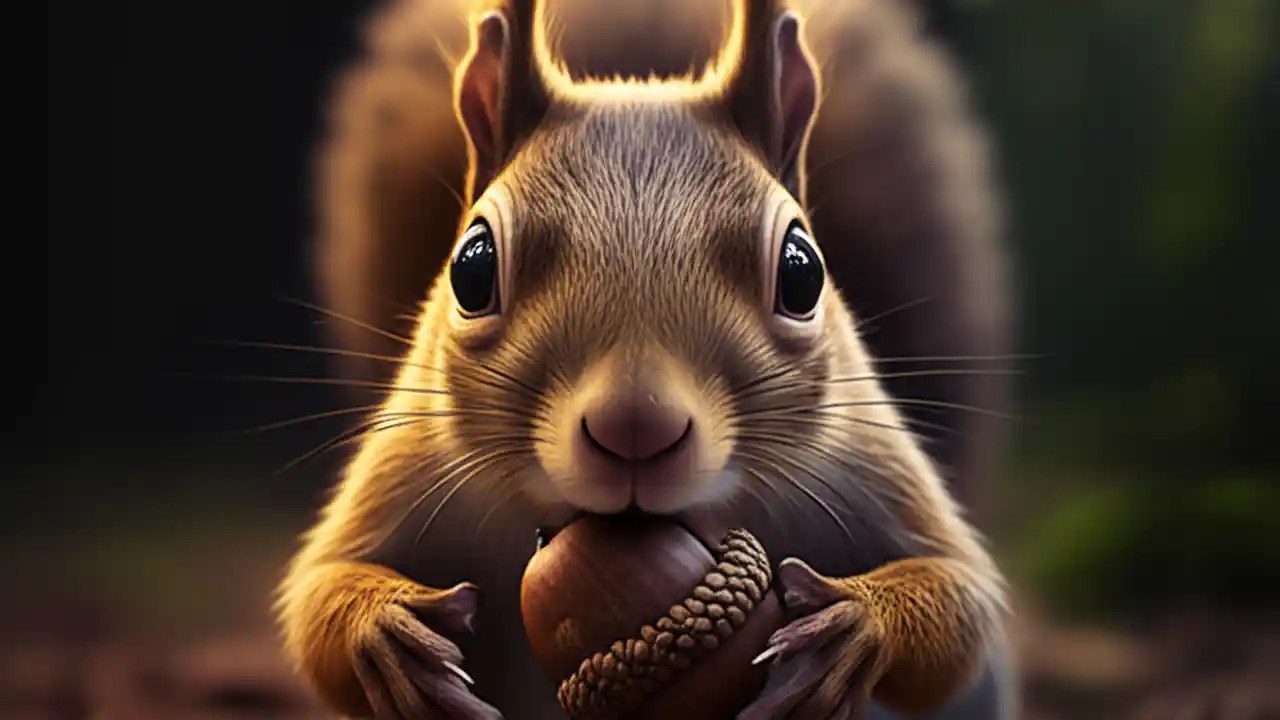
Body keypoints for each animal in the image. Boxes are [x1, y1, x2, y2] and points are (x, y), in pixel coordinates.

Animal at [280, 0, 1014, 718]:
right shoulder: (411, 471)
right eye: (471, 267)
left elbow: (961, 603)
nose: (637, 427)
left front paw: (856, 627)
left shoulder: (866, 472)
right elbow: (317, 595)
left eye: (803, 271)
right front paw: (384, 632)